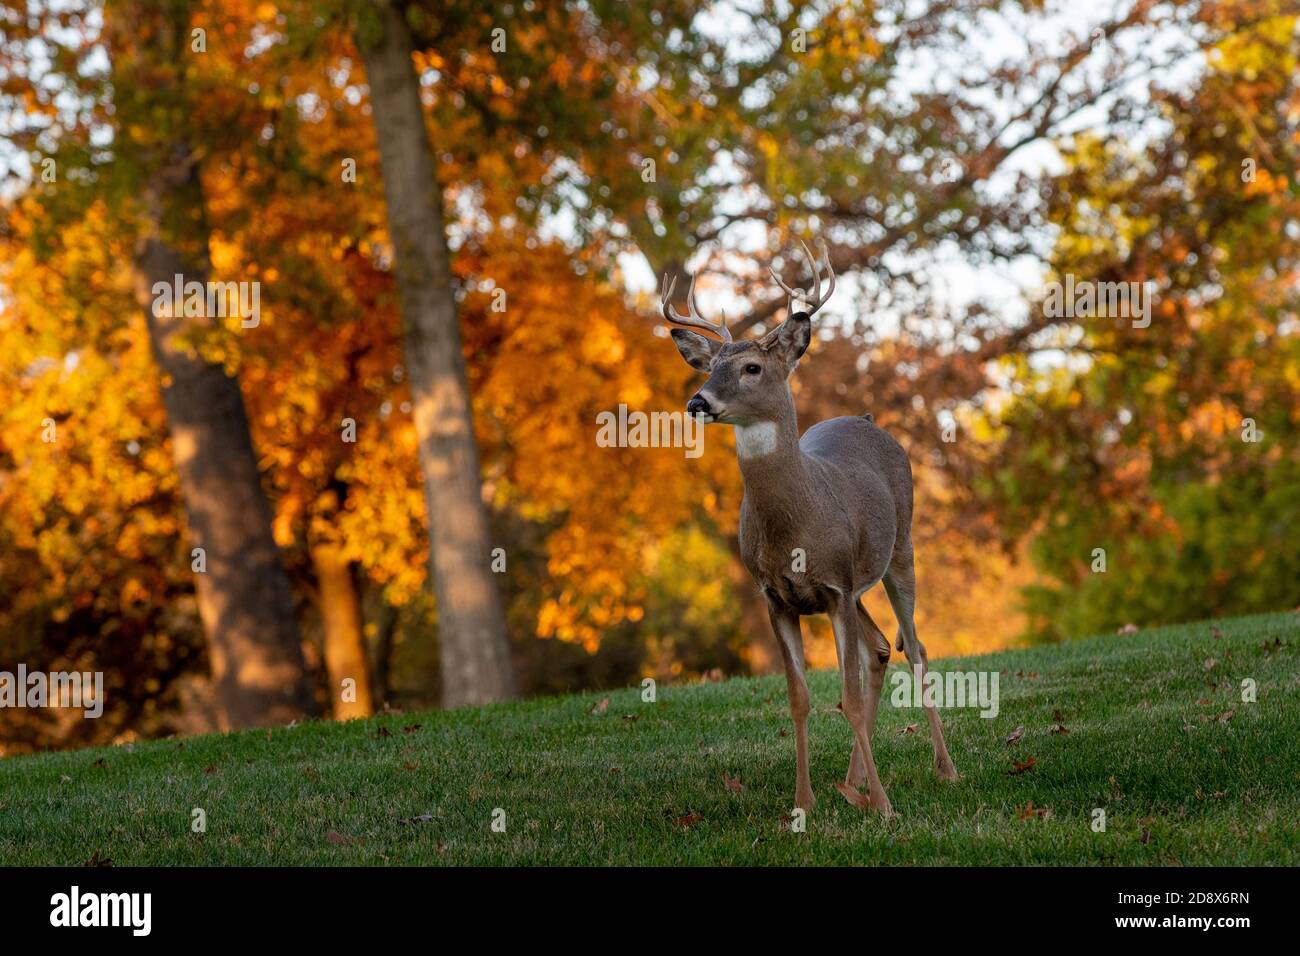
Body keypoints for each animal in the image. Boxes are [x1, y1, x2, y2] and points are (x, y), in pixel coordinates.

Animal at [660, 239, 958, 815]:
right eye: (709, 369)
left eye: (752, 367)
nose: (698, 401)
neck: (792, 526)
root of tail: (866, 419)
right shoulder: (778, 597)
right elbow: (801, 700)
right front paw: (804, 803)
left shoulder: (835, 586)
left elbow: (848, 696)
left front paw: (885, 807)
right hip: (858, 584)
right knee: (880, 649)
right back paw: (853, 781)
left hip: (901, 549)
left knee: (915, 647)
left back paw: (943, 768)